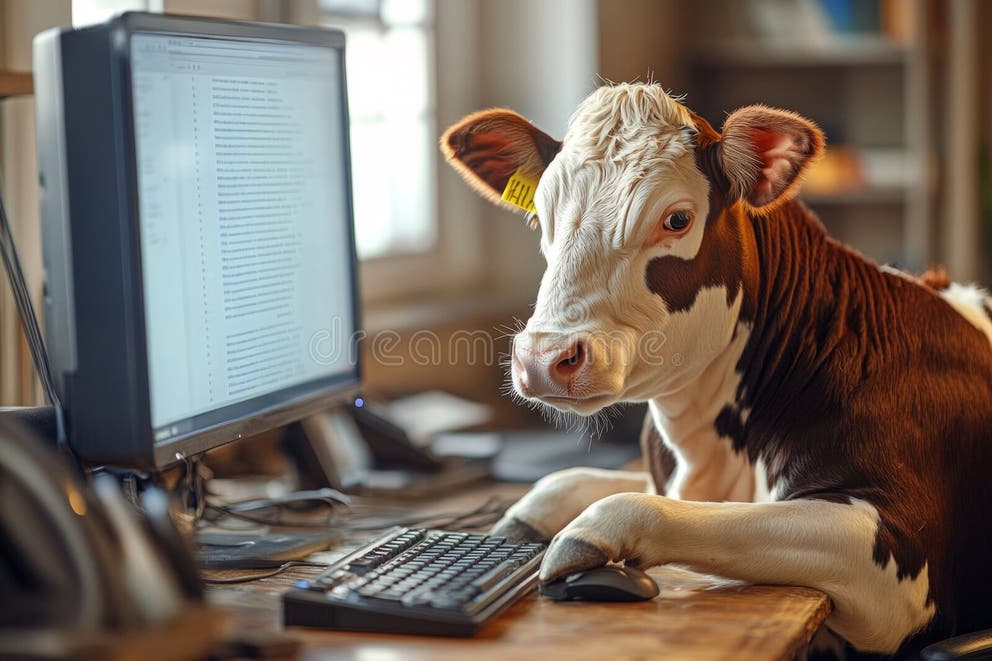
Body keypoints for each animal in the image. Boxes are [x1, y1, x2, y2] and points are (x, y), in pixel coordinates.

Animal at [440, 83, 992, 657]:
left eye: (677, 219)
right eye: (537, 219)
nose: (543, 358)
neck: (711, 454)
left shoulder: (897, 573)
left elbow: (644, 507)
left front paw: (583, 535)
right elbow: (563, 479)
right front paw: (511, 528)